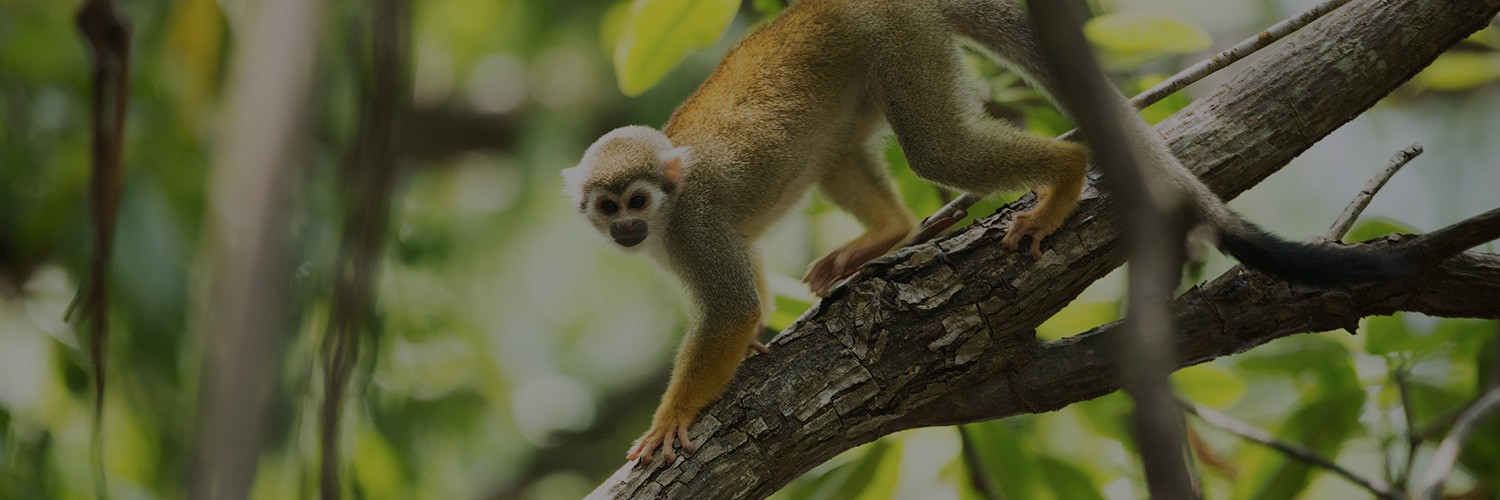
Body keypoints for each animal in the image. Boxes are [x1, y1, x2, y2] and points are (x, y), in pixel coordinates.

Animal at [562, 0, 1405, 465]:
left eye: (637, 198)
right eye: (607, 208)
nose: (628, 227)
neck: (668, 217)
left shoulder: (693, 222)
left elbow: (732, 308)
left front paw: (672, 418)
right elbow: (747, 301)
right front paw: (759, 346)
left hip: (902, 42)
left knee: (938, 150)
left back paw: (1066, 173)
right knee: (840, 150)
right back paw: (891, 232)